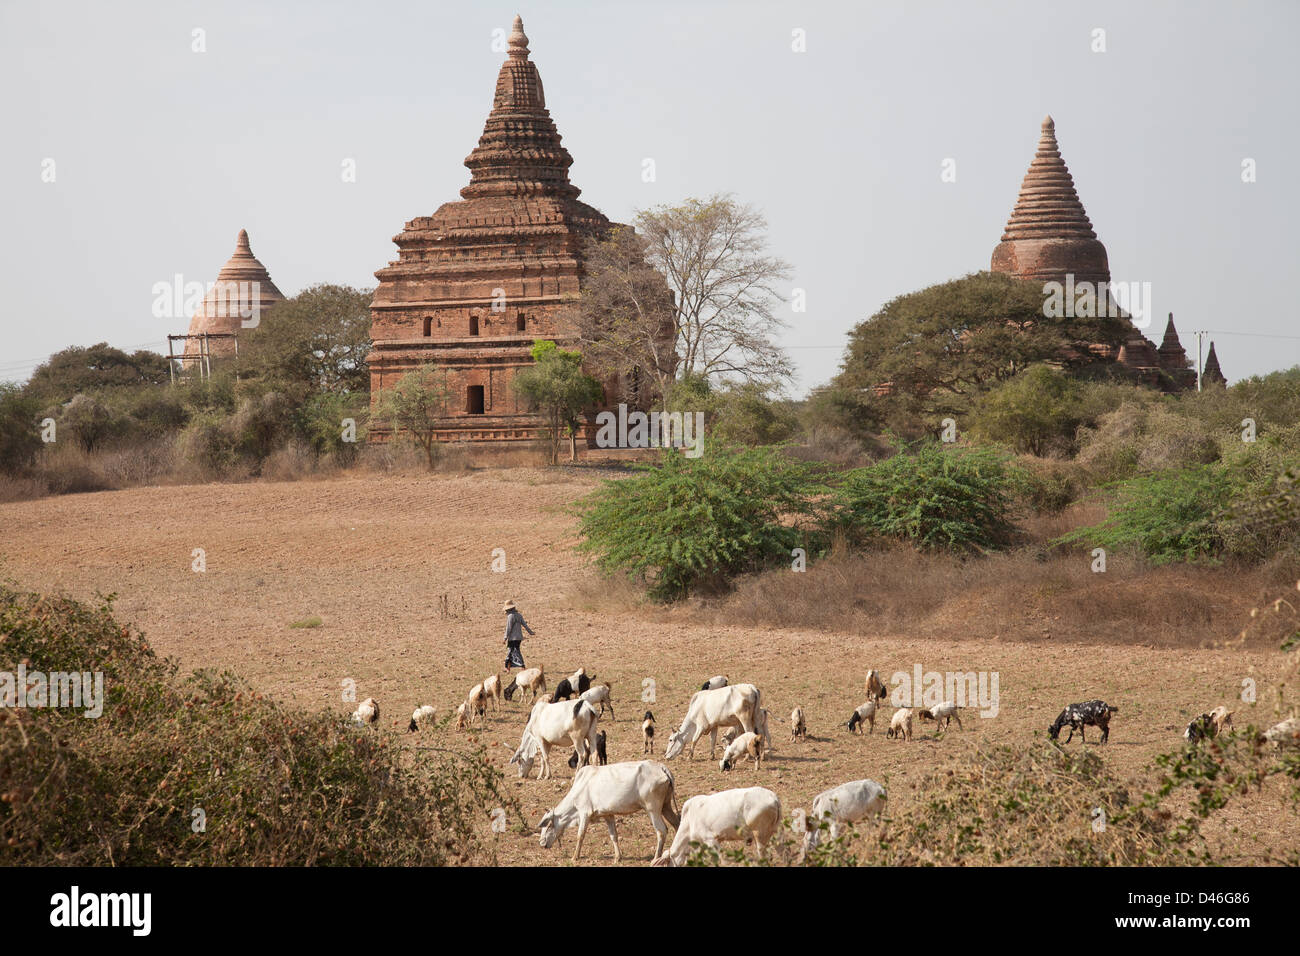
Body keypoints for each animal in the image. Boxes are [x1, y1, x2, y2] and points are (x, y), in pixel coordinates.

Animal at [539, 761, 680, 862]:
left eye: (548, 826)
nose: (542, 843)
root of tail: (662, 767)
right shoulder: (608, 814)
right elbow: (613, 835)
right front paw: (617, 857)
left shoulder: (584, 813)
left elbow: (580, 835)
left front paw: (575, 857)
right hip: (666, 806)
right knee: (677, 823)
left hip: (653, 809)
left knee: (662, 831)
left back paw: (656, 858)